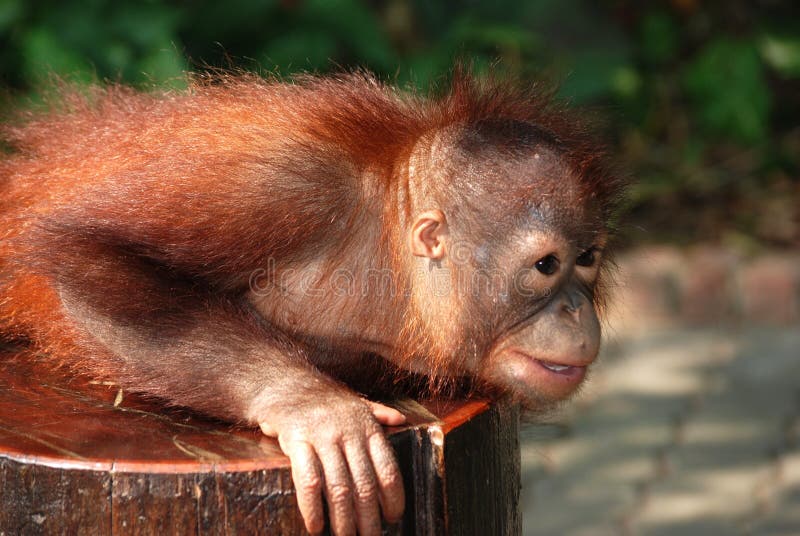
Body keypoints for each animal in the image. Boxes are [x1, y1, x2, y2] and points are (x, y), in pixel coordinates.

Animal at [0, 70, 622, 535]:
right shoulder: (285, 186)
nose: (575, 310)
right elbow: (83, 251)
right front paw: (314, 408)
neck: (387, 243)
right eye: (546, 266)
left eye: (587, 258)